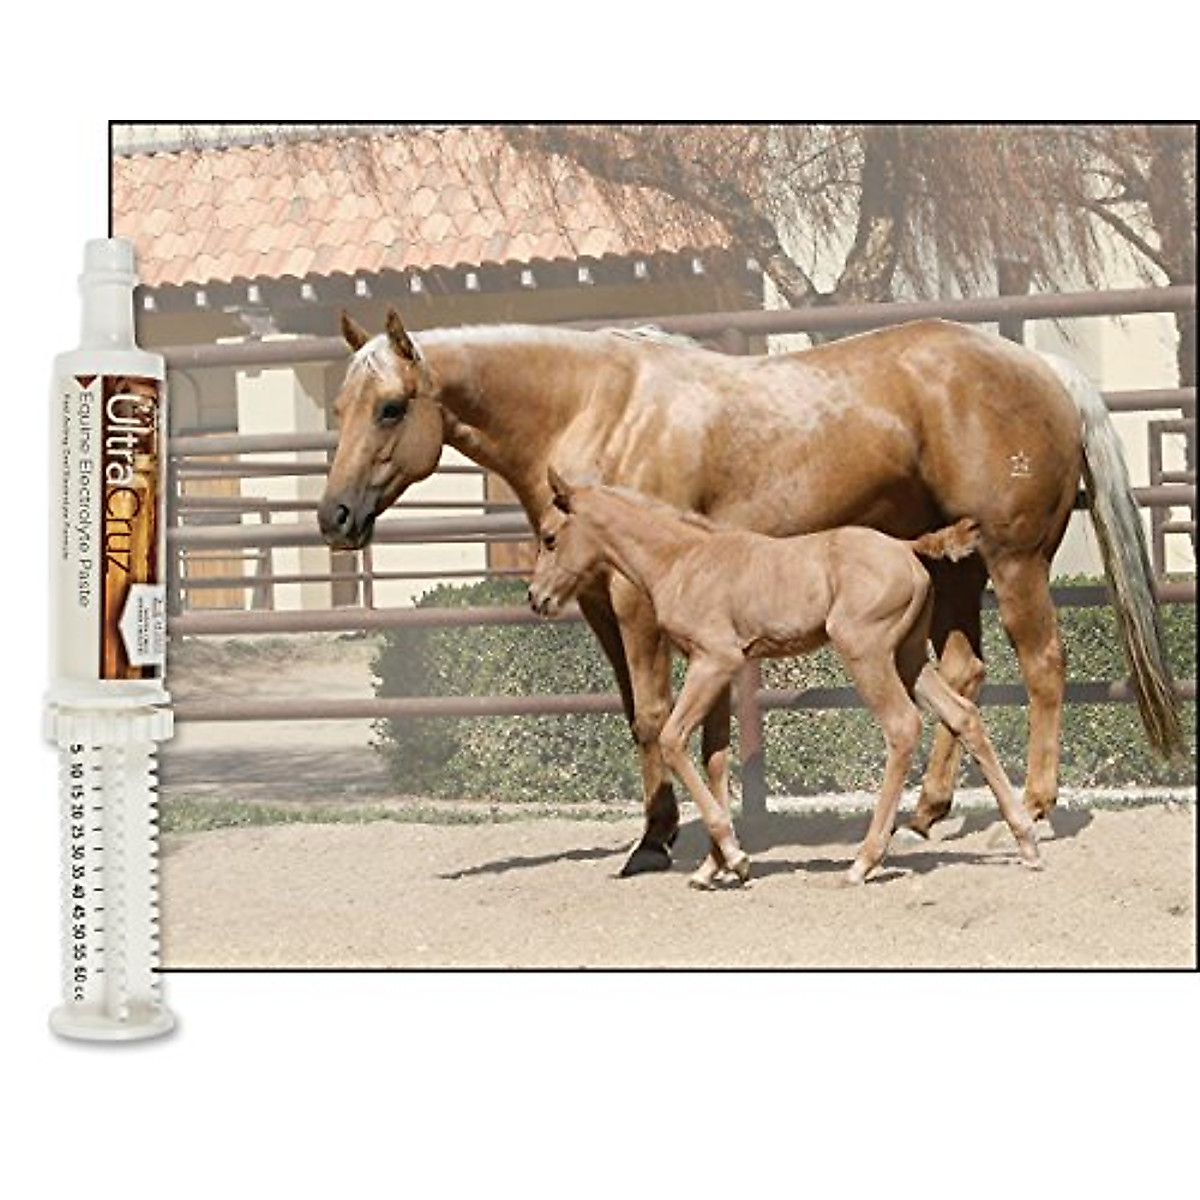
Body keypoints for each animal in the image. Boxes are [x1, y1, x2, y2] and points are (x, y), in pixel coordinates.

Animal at [528, 472, 1042, 887]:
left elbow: (673, 740)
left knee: (902, 726)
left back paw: (864, 860)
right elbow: (715, 757)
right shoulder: (719, 668)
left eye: (550, 538)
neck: (683, 559)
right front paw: (713, 867)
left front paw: (735, 859)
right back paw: (1026, 841)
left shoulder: (713, 661)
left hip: (868, 653)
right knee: (963, 716)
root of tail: (905, 547)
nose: (536, 598)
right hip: (909, 656)